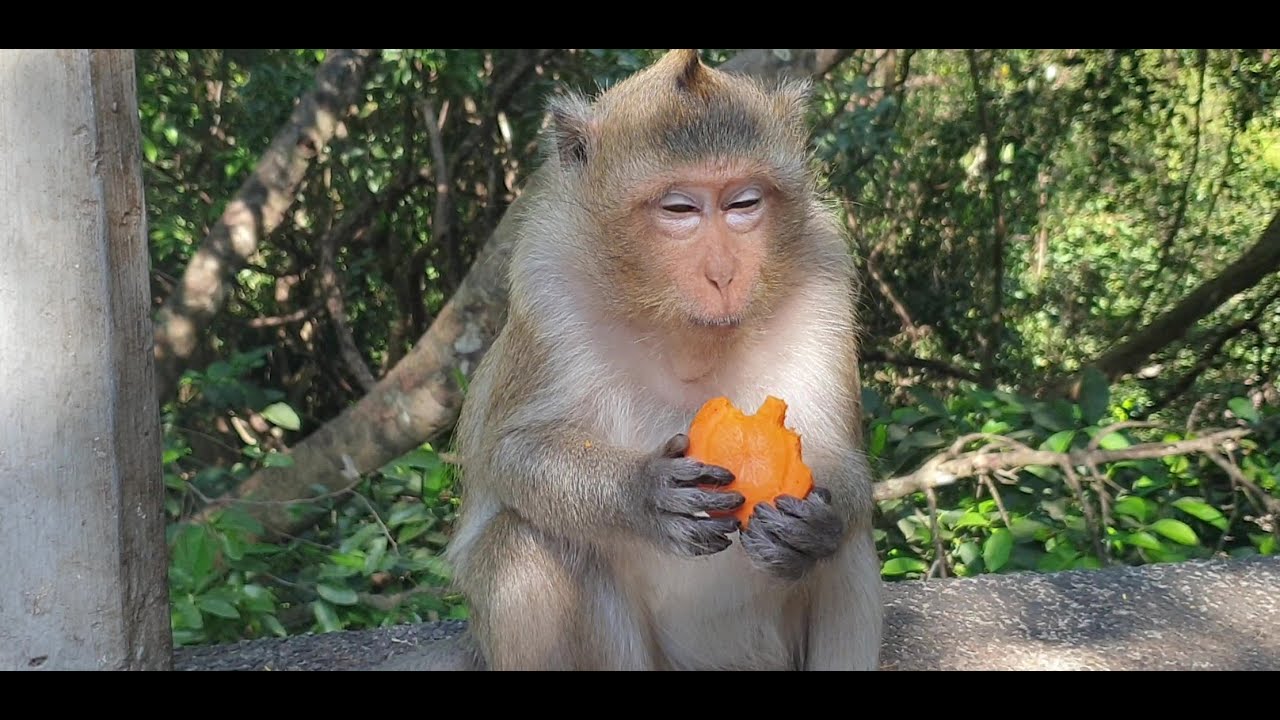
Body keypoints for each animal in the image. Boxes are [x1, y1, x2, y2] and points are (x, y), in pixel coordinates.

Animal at [391, 49, 882, 671]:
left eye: (744, 203)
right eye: (679, 208)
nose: (723, 274)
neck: (681, 335)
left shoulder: (824, 270)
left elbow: (838, 459)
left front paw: (810, 527)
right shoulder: (549, 279)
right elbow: (512, 452)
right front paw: (642, 494)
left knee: (850, 543)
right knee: (520, 548)